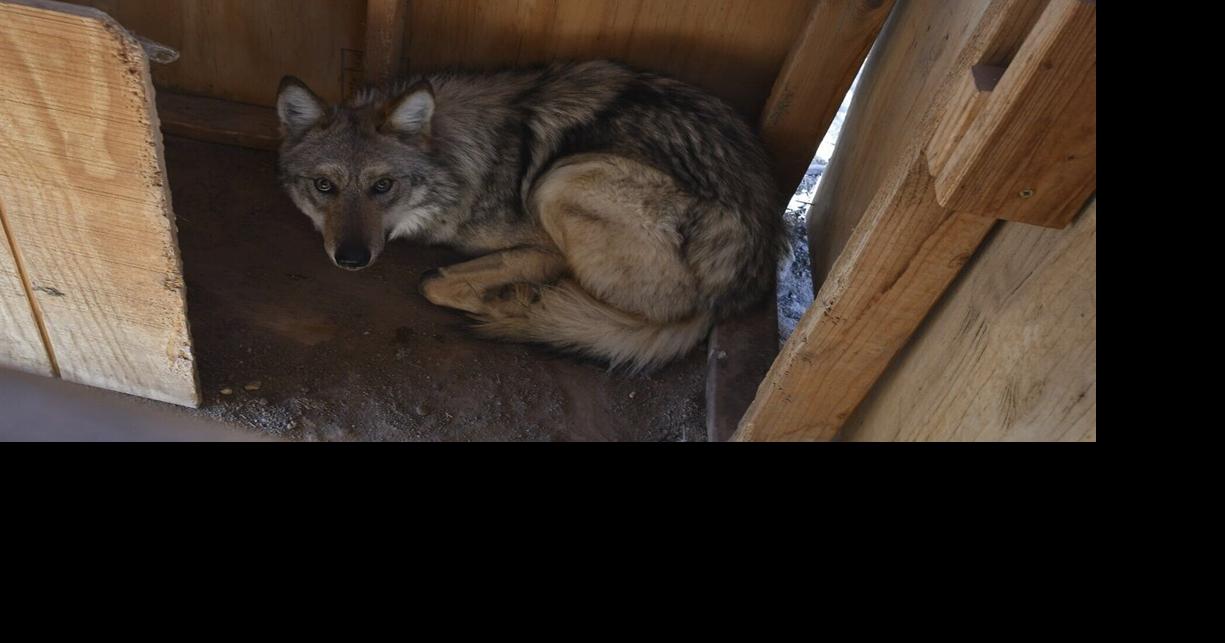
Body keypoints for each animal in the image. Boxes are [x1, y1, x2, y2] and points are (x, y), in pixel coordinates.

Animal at [275, 60, 785, 371]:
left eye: (382, 186)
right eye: (324, 186)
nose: (351, 259)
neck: (459, 157)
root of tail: (733, 293)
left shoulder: (542, 243)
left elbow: (432, 283)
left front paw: (507, 292)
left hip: (562, 179)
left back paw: (520, 302)